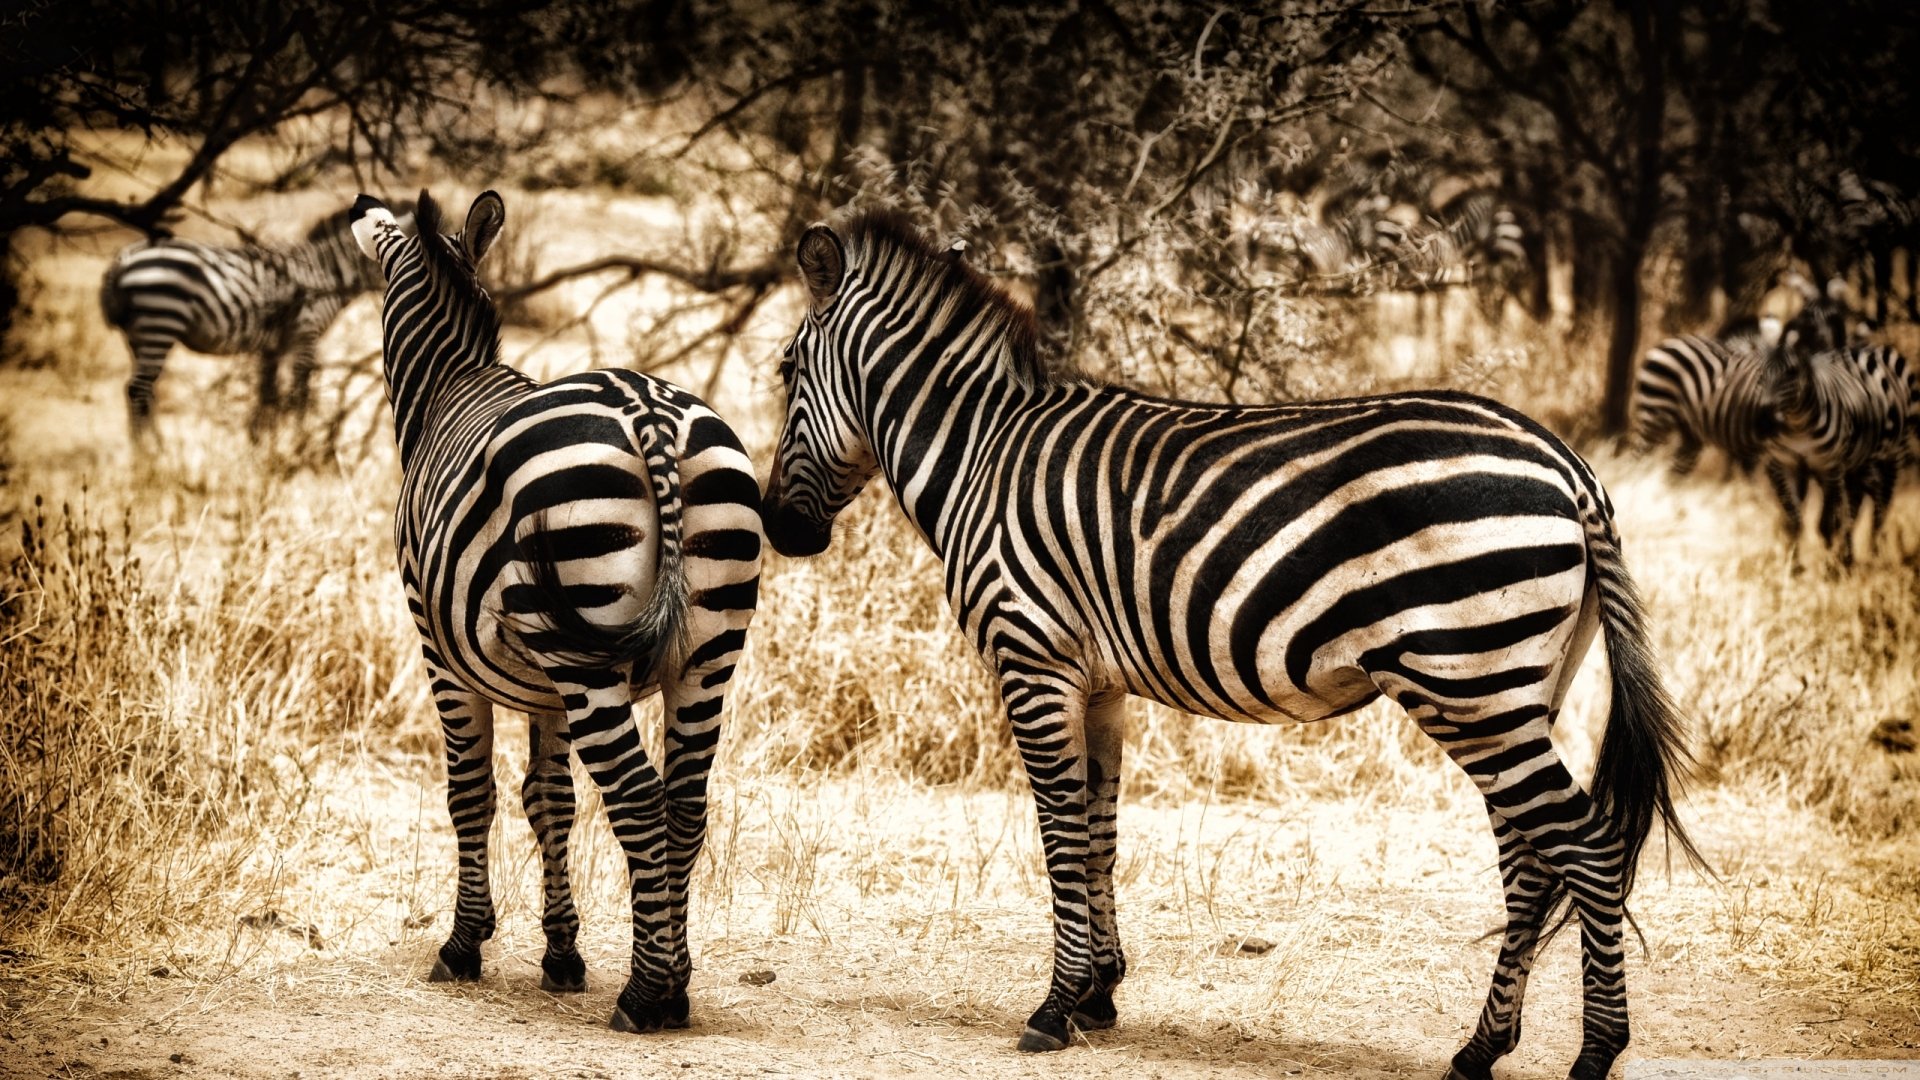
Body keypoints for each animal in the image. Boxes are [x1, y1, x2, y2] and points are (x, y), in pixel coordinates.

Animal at [99, 204, 408, 439]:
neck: (326, 272)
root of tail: (122, 260)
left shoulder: (272, 346)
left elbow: (267, 396)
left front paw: (262, 446)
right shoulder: (305, 333)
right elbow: (300, 393)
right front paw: (297, 440)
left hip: (138, 334)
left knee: (144, 392)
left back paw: (158, 452)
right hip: (159, 322)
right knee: (138, 390)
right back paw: (148, 458)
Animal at [348, 190, 764, 1031]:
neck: (448, 388)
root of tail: (650, 414)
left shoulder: (438, 650)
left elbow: (470, 794)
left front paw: (464, 944)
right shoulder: (545, 690)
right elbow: (550, 802)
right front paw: (562, 953)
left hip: (585, 651)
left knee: (636, 798)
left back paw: (646, 993)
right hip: (705, 648)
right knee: (684, 804)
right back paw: (678, 981)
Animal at [760, 211, 1701, 1080]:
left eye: (784, 372)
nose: (778, 529)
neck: (981, 455)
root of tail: (1569, 467)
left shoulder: (1033, 659)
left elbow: (1058, 831)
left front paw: (1053, 1006)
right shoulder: (1098, 682)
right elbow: (1099, 832)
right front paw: (1100, 993)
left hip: (1471, 682)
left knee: (1586, 846)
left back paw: (1596, 1051)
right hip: (1514, 689)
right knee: (1533, 860)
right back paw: (1480, 1048)